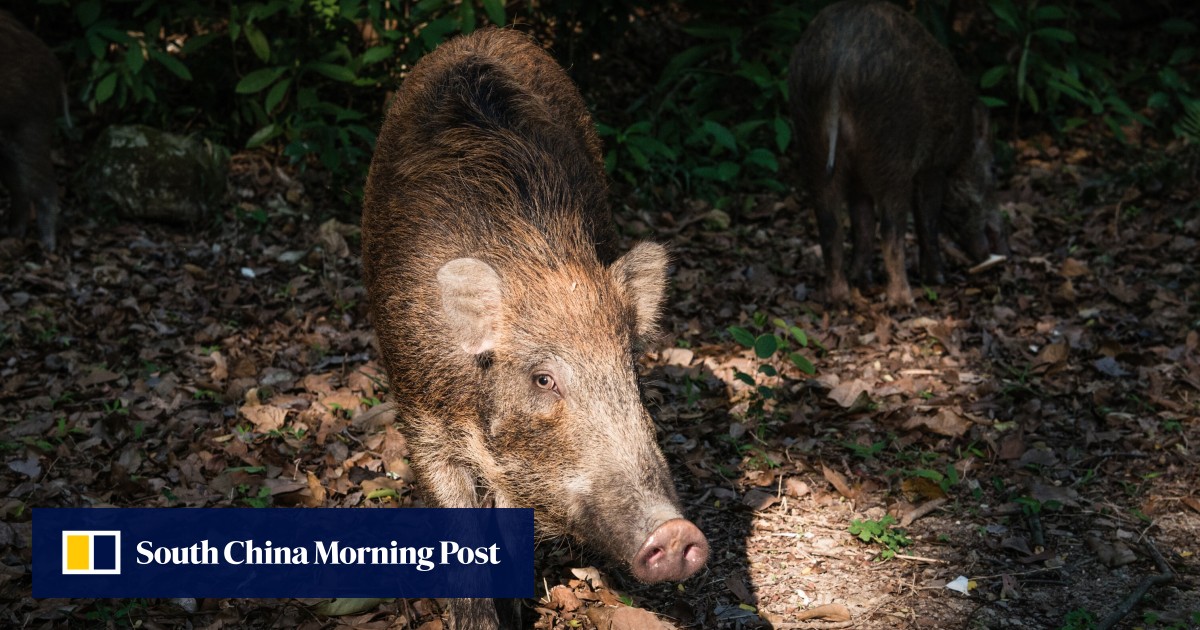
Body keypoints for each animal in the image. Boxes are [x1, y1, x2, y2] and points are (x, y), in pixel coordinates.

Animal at [789, 0, 1008, 308]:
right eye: (993, 169)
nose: (1005, 250)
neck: (962, 139)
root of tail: (838, 71)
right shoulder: (932, 165)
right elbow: (927, 218)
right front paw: (938, 279)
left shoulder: (859, 178)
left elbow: (862, 222)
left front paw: (861, 278)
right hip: (890, 151)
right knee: (891, 230)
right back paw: (903, 300)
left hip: (812, 142)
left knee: (830, 225)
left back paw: (839, 297)